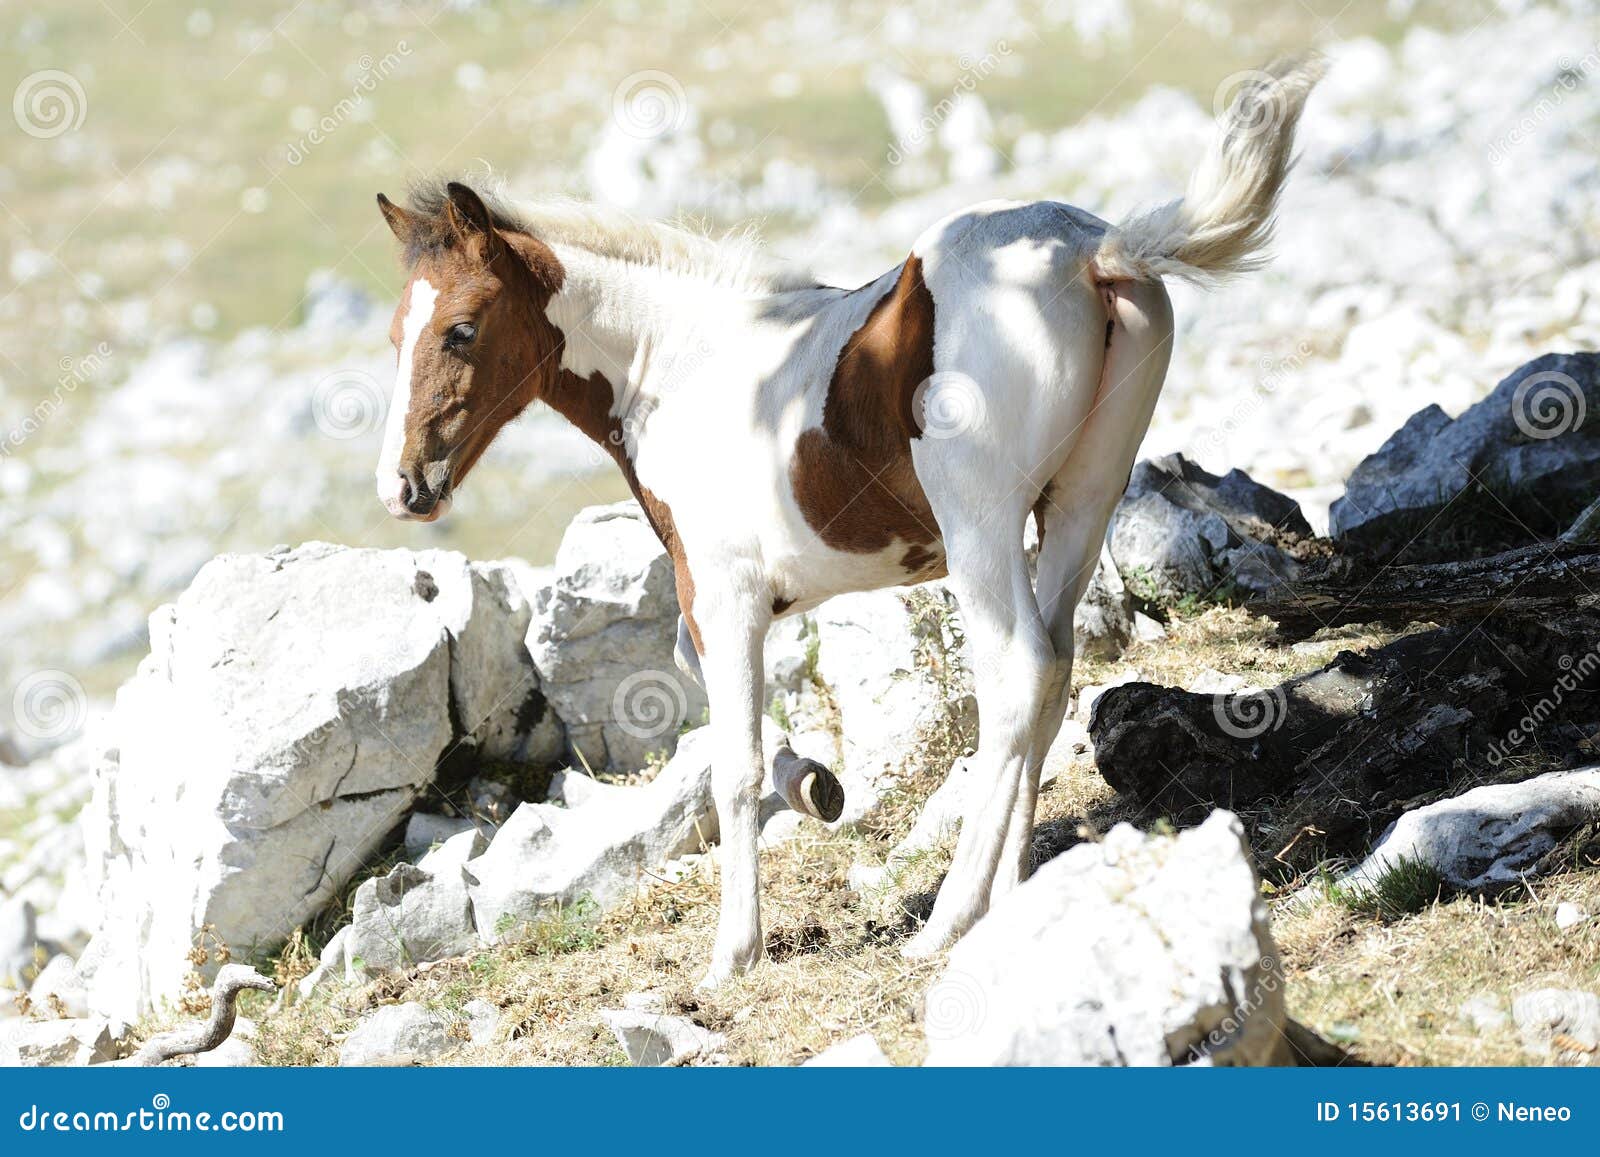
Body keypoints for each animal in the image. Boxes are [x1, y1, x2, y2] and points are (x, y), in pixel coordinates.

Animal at [372, 57, 1322, 987]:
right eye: (393, 336)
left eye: (461, 329)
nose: (404, 486)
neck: (679, 364)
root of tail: (1094, 249)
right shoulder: (746, 597)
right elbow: (706, 690)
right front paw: (814, 783)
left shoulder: (722, 592)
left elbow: (732, 764)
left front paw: (733, 953)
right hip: (1081, 507)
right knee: (1053, 674)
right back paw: (1011, 896)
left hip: (982, 527)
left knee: (1017, 674)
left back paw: (946, 923)